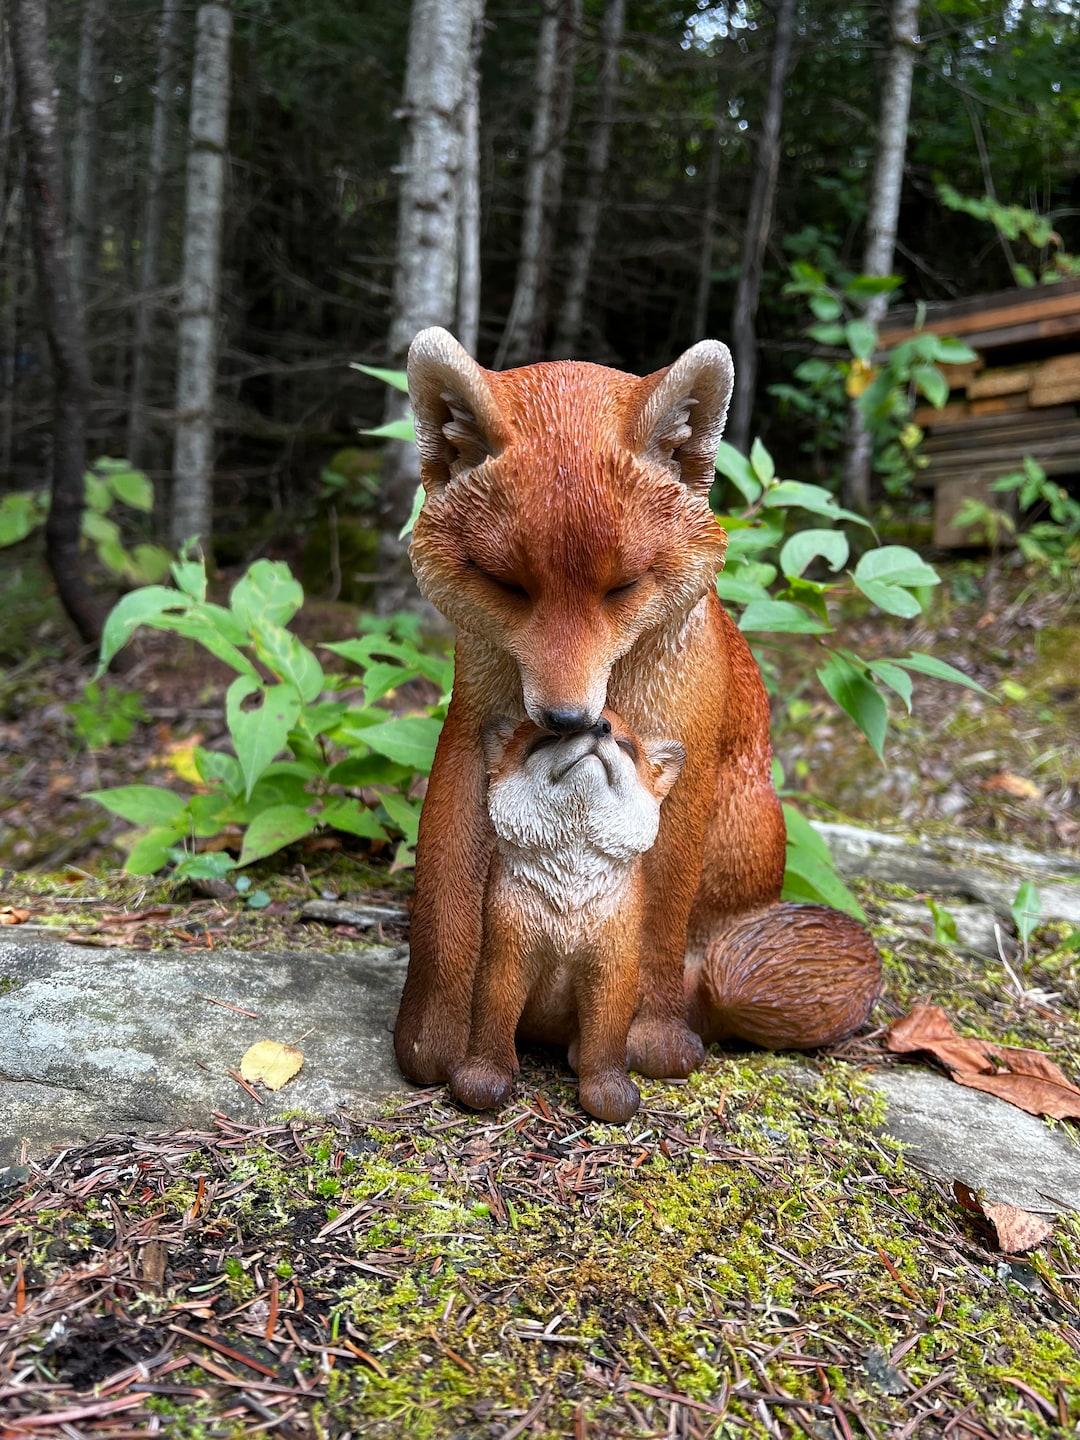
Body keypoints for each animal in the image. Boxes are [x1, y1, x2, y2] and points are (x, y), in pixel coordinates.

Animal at [451, 711, 685, 1125]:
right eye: (546, 739)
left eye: (626, 746)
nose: (598, 728)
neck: (570, 900)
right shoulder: (507, 950)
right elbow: (492, 1015)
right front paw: (482, 1079)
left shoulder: (614, 962)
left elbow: (608, 1032)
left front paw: (609, 1091)